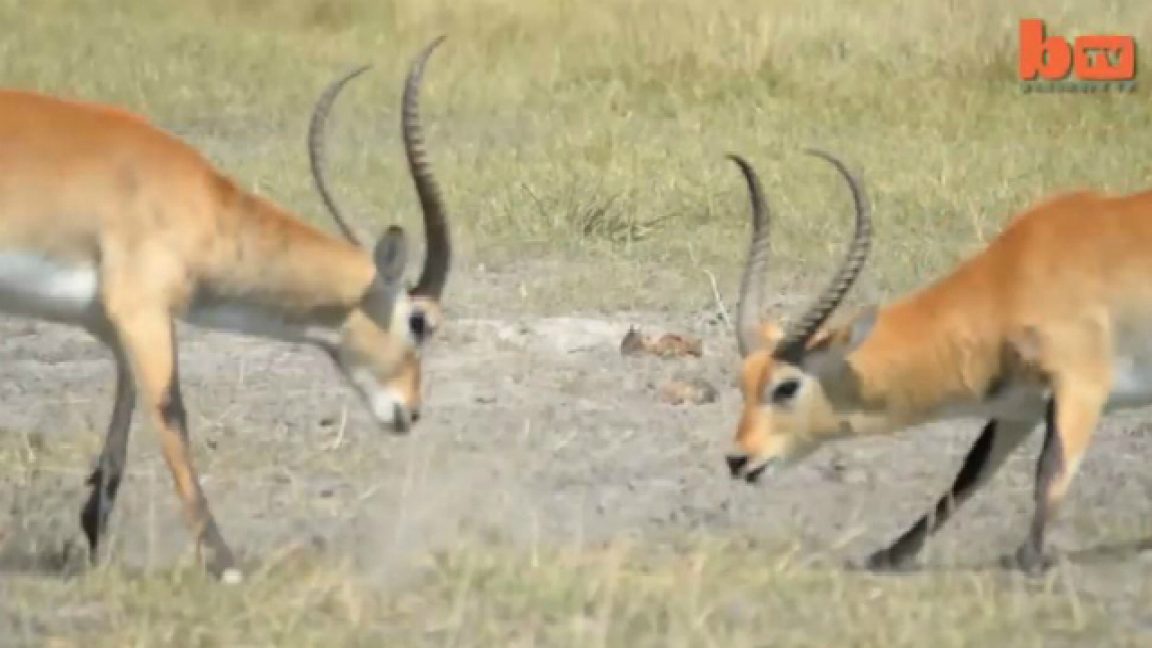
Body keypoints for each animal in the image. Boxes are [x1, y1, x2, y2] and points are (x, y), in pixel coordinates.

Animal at [0, 36, 453, 582]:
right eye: (420, 323)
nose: (410, 411)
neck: (194, 202)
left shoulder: (112, 321)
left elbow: (126, 403)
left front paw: (94, 531)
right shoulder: (142, 310)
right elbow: (171, 412)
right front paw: (224, 563)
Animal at [723, 149, 1152, 573]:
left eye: (786, 386)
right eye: (742, 382)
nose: (738, 459)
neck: (1013, 282)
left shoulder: (1081, 388)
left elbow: (1051, 469)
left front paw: (1028, 560)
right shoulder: (1022, 406)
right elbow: (969, 475)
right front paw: (889, 555)